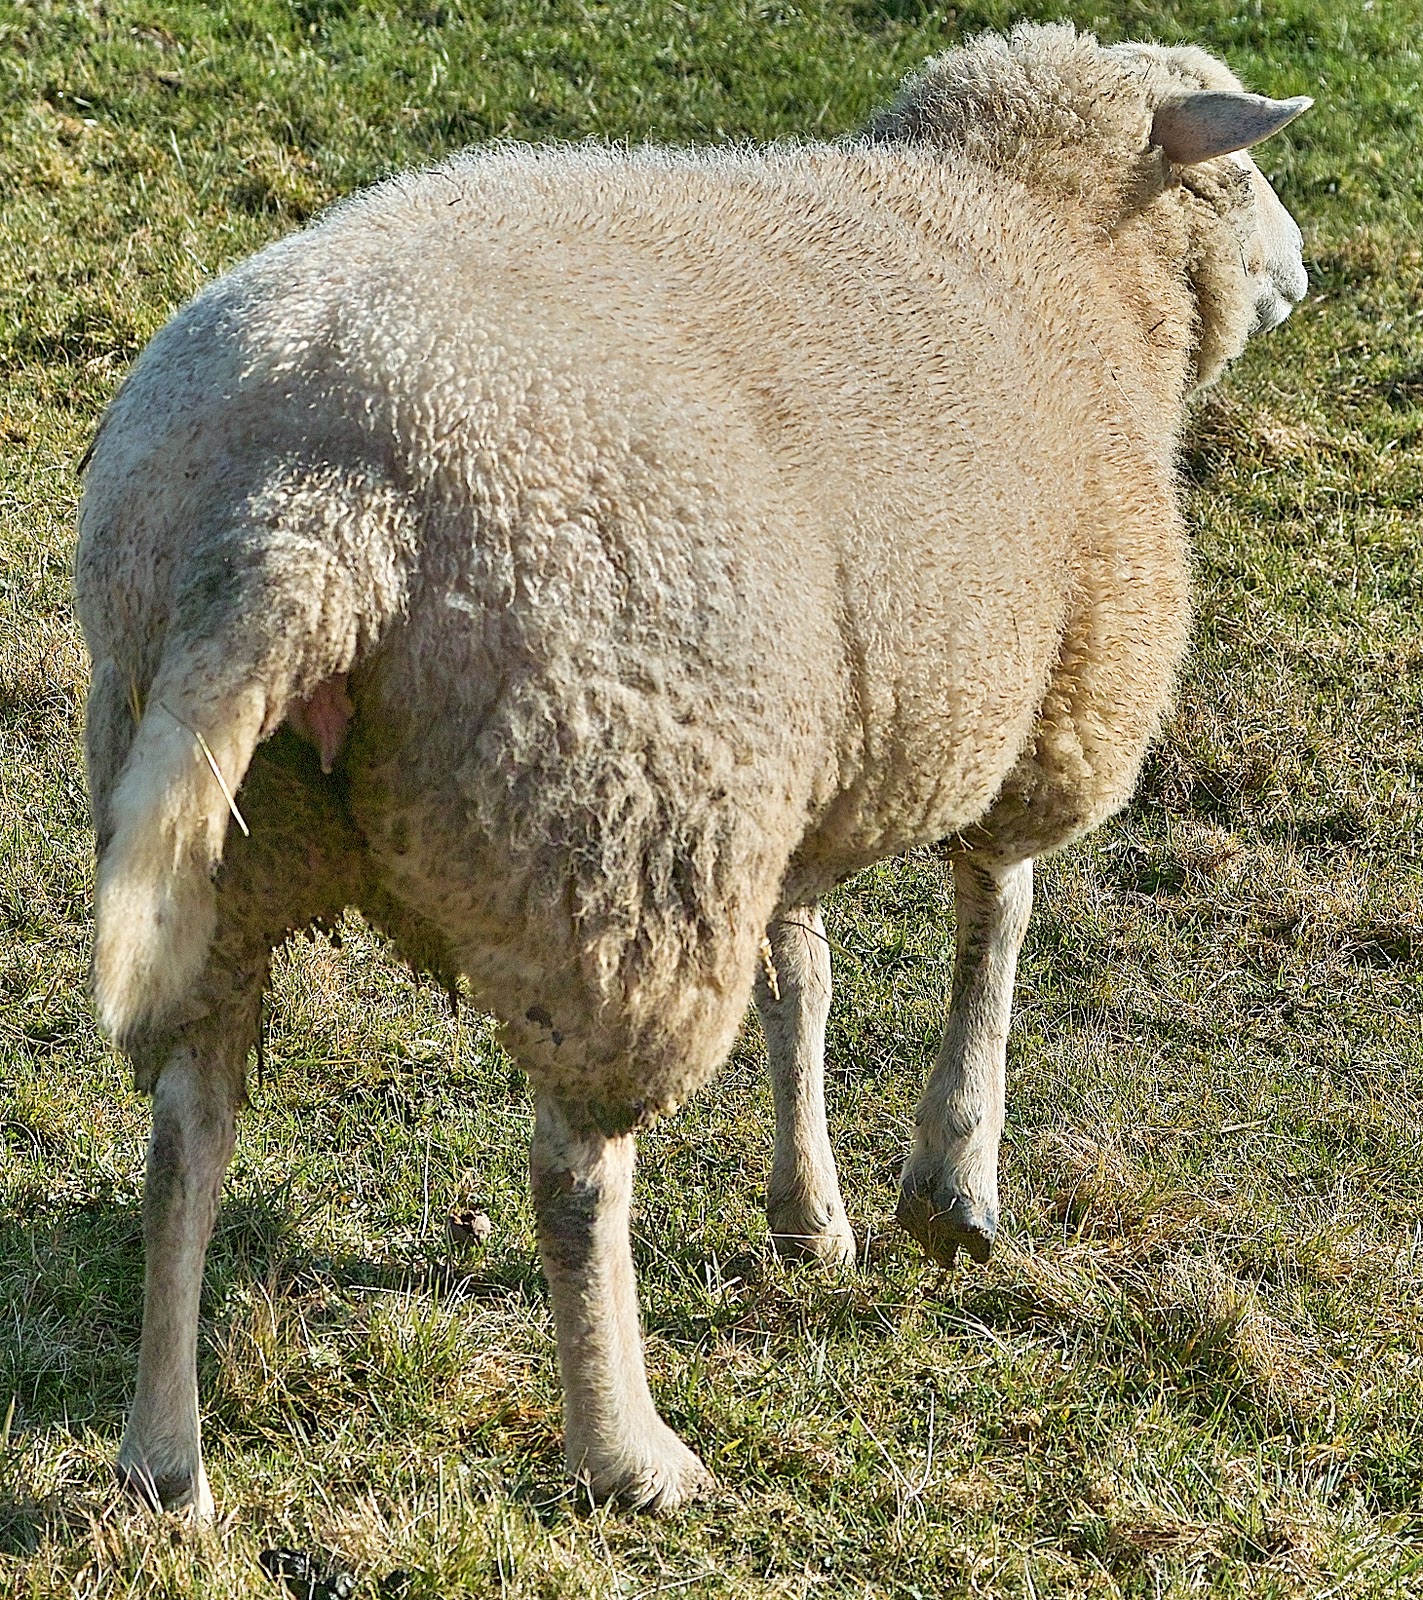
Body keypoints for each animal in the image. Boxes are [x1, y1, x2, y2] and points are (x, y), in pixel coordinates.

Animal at [76, 21, 1310, 1517]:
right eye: (1238, 162)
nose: (1302, 272)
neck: (1040, 233)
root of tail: (305, 510)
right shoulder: (1052, 703)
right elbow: (993, 923)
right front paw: (950, 1186)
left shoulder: (797, 777)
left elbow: (801, 985)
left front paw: (810, 1213)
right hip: (616, 838)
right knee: (572, 1179)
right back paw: (628, 1450)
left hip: (239, 832)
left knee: (184, 1138)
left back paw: (163, 1461)